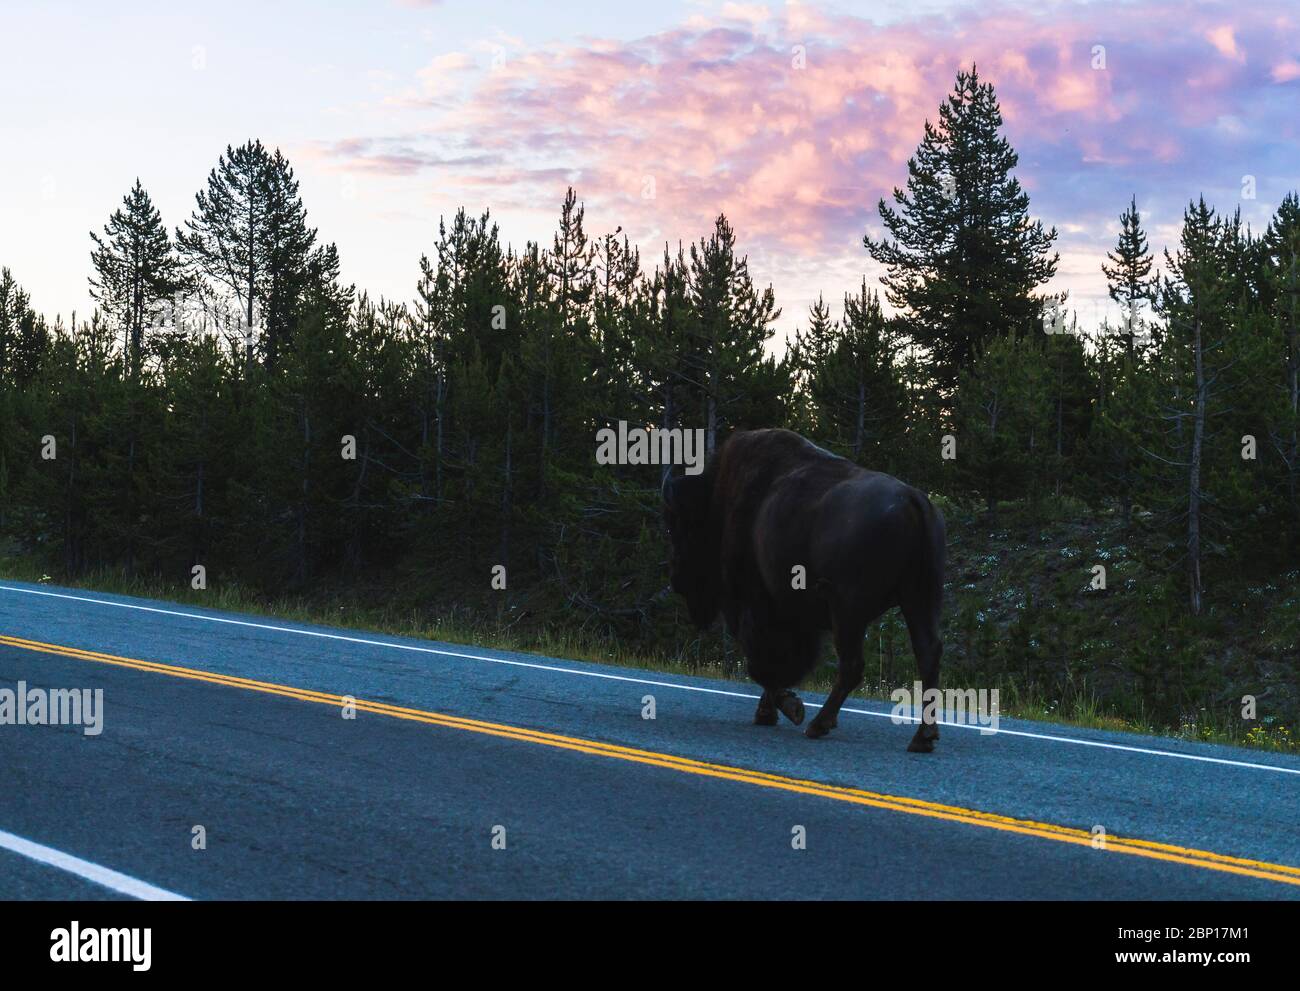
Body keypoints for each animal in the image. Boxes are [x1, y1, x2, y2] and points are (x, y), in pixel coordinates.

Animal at [664, 428, 946, 752]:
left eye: (675, 526)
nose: (675, 580)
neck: (718, 499)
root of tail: (914, 500)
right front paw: (770, 712)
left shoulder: (753, 603)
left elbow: (762, 663)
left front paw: (787, 709)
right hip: (919, 600)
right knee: (927, 653)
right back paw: (923, 737)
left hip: (848, 610)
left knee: (852, 665)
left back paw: (818, 724)